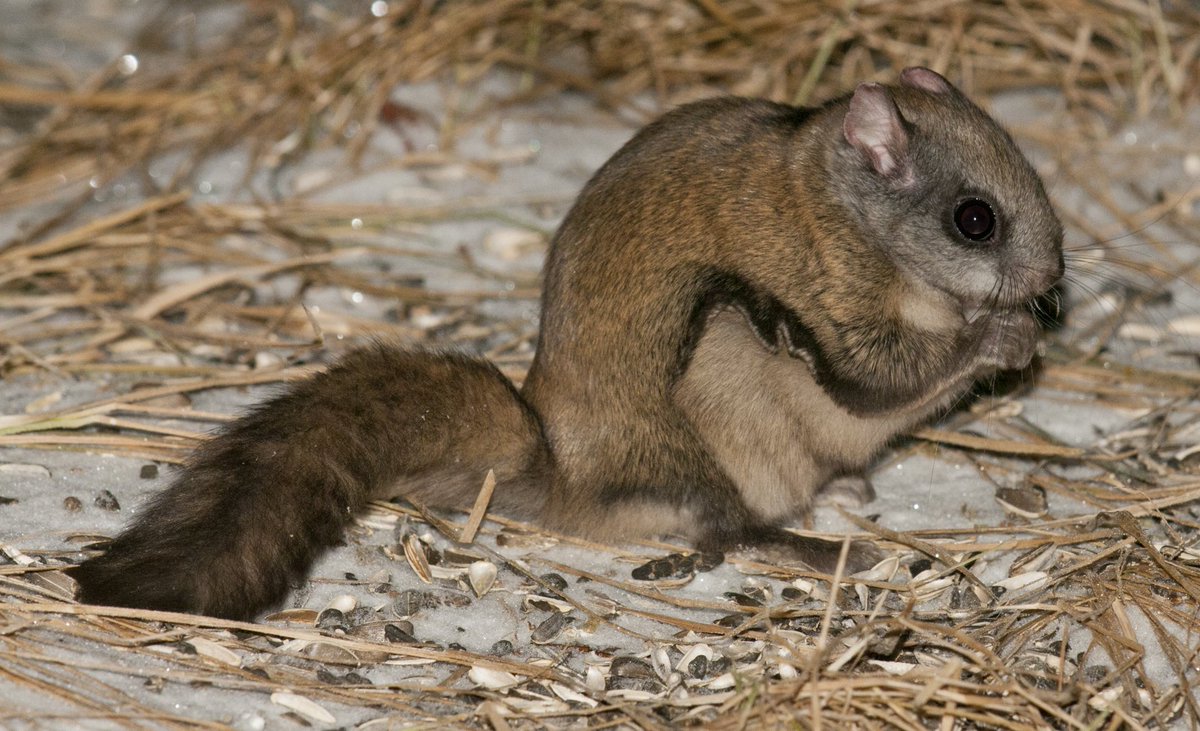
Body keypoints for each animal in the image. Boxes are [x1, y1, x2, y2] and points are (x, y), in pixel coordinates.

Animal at [69, 68, 1064, 620]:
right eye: (974, 219)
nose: (1054, 286)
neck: (841, 205)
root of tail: (567, 473)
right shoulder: (822, 290)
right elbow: (880, 379)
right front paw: (998, 332)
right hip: (716, 374)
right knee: (729, 527)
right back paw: (823, 549)